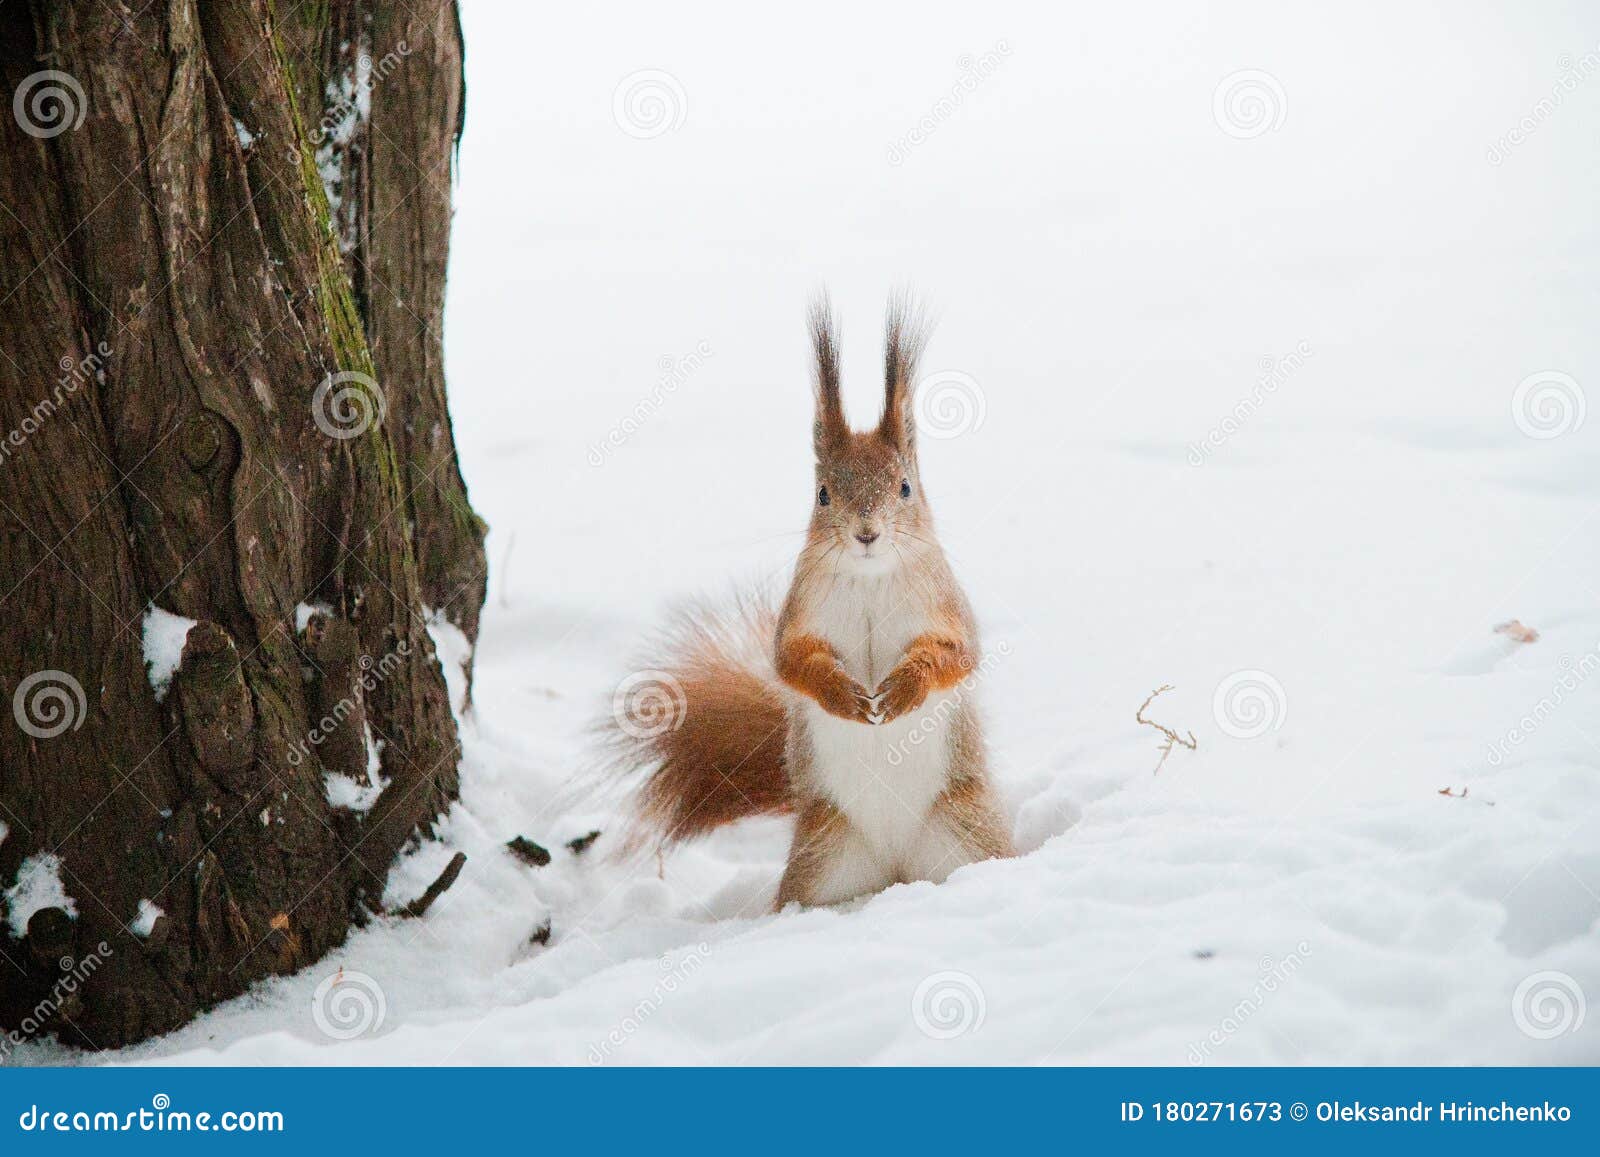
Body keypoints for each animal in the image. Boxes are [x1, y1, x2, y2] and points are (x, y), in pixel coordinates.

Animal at [600, 295, 1013, 906]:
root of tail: (895, 870)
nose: (866, 533)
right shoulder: (799, 614)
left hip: (965, 832)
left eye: (905, 487)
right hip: (822, 859)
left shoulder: (946, 605)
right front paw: (843, 694)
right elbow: (790, 661)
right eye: (822, 495)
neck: (869, 579)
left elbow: (958, 654)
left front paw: (902, 689)